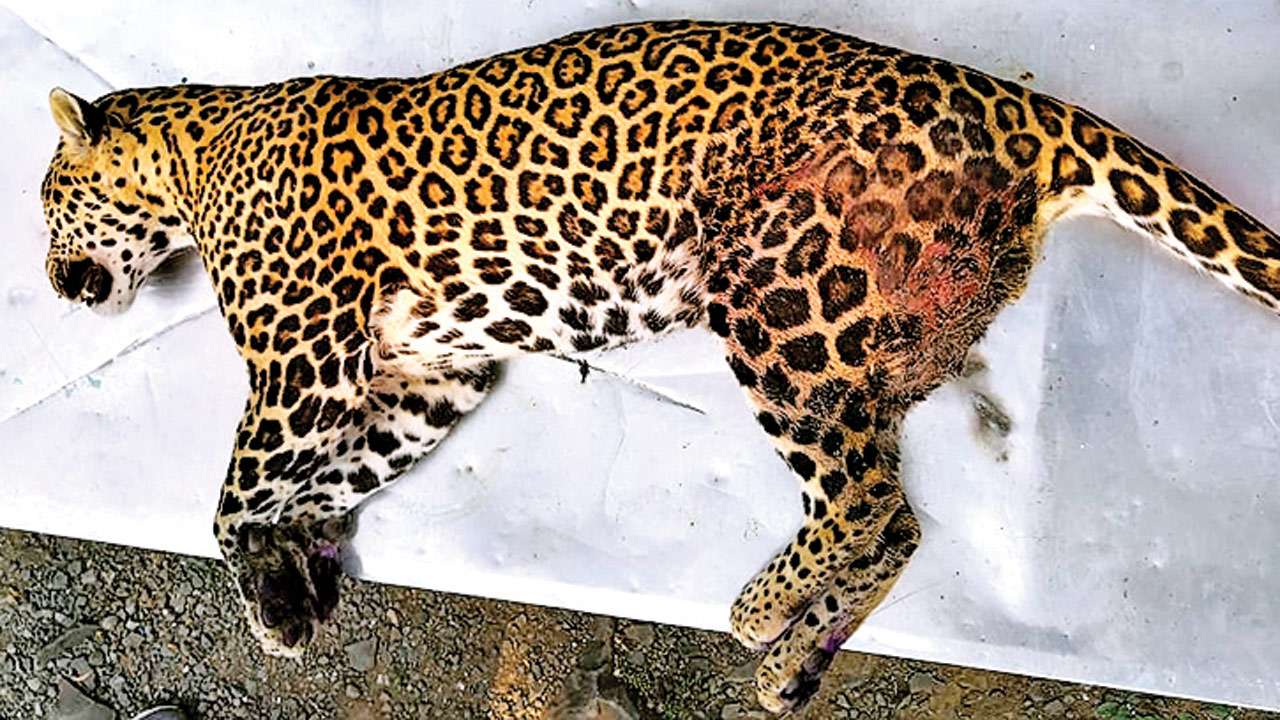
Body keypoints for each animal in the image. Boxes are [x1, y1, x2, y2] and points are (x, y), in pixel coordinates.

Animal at [39, 20, 1280, 714]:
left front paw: (273, 600)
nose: (50, 284)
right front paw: (297, 570)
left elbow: (232, 491)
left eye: (49, 199)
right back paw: (792, 665)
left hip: (780, 292)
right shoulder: (429, 376)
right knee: (895, 514)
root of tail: (1006, 101)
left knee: (860, 496)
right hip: (870, 332)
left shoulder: (303, 353)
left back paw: (756, 613)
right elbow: (315, 480)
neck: (196, 155)